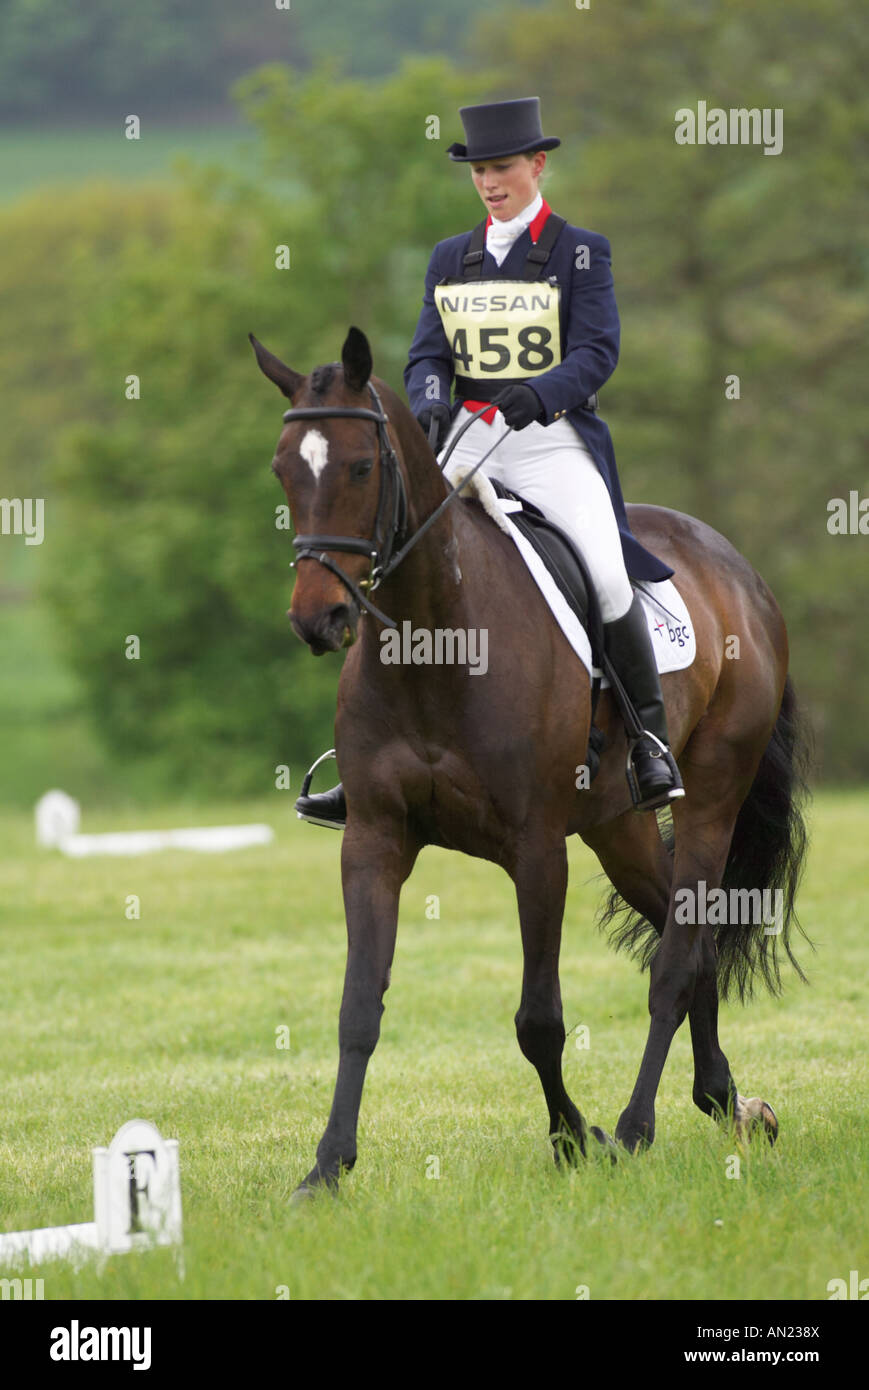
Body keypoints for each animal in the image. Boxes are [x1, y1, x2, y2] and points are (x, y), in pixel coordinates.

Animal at [250, 326, 810, 1197]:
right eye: (283, 469)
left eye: (361, 467)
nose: (319, 618)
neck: (436, 640)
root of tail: (741, 572)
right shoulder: (372, 839)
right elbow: (357, 1009)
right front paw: (327, 1168)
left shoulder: (537, 850)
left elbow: (538, 1020)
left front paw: (574, 1138)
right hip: (616, 827)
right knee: (691, 938)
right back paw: (727, 1101)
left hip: (711, 794)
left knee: (678, 955)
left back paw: (635, 1126)